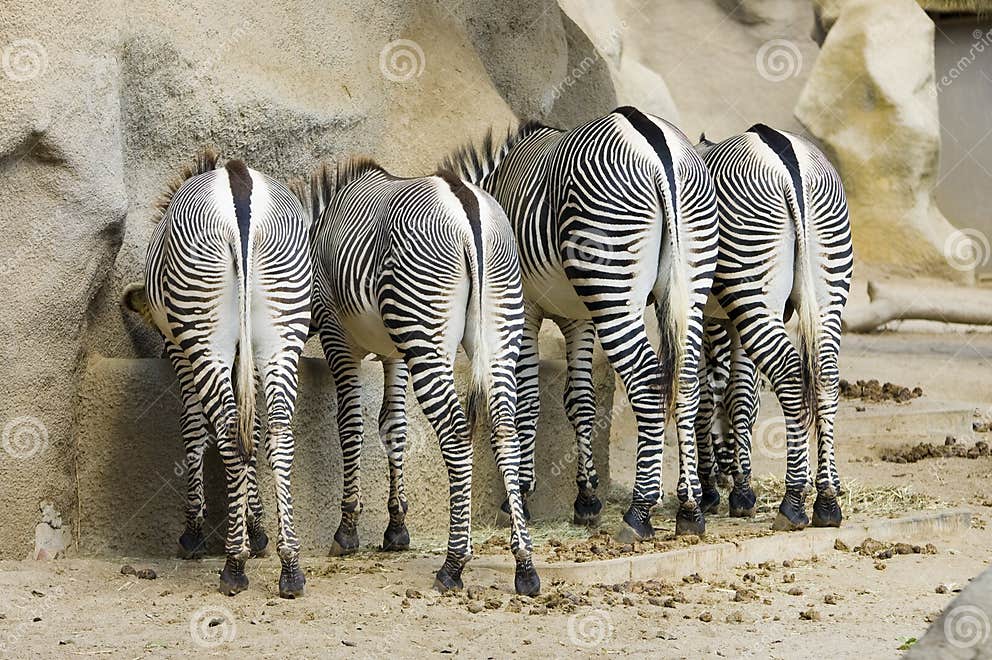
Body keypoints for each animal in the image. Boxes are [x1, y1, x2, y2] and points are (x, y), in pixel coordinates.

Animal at [123, 149, 312, 597]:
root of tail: (237, 180)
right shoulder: (249, 355)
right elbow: (254, 430)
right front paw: (256, 526)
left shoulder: (180, 349)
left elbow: (194, 429)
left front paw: (196, 531)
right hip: (284, 322)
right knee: (278, 431)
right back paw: (290, 568)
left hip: (202, 330)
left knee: (225, 430)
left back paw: (233, 563)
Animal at [299, 160, 540, 595]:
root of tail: (467, 203)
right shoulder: (395, 353)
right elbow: (393, 427)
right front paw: (396, 527)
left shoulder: (337, 337)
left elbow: (351, 426)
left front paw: (348, 530)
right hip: (501, 324)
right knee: (506, 432)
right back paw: (525, 565)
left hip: (424, 332)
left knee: (457, 436)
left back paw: (453, 564)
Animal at [444, 107, 720, 540]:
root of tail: (659, 148)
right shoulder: (580, 319)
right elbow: (581, 402)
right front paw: (586, 498)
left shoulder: (526, 309)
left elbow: (528, 402)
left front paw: (521, 496)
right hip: (688, 281)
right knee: (687, 381)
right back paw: (690, 508)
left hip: (613, 281)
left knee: (647, 382)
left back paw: (639, 512)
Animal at [693, 125, 853, 529]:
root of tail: (790, 164)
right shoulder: (733, 320)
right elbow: (741, 397)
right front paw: (740, 490)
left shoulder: (704, 317)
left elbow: (707, 398)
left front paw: (711, 491)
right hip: (823, 289)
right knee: (826, 375)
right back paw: (826, 501)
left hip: (751, 283)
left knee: (790, 373)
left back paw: (793, 503)